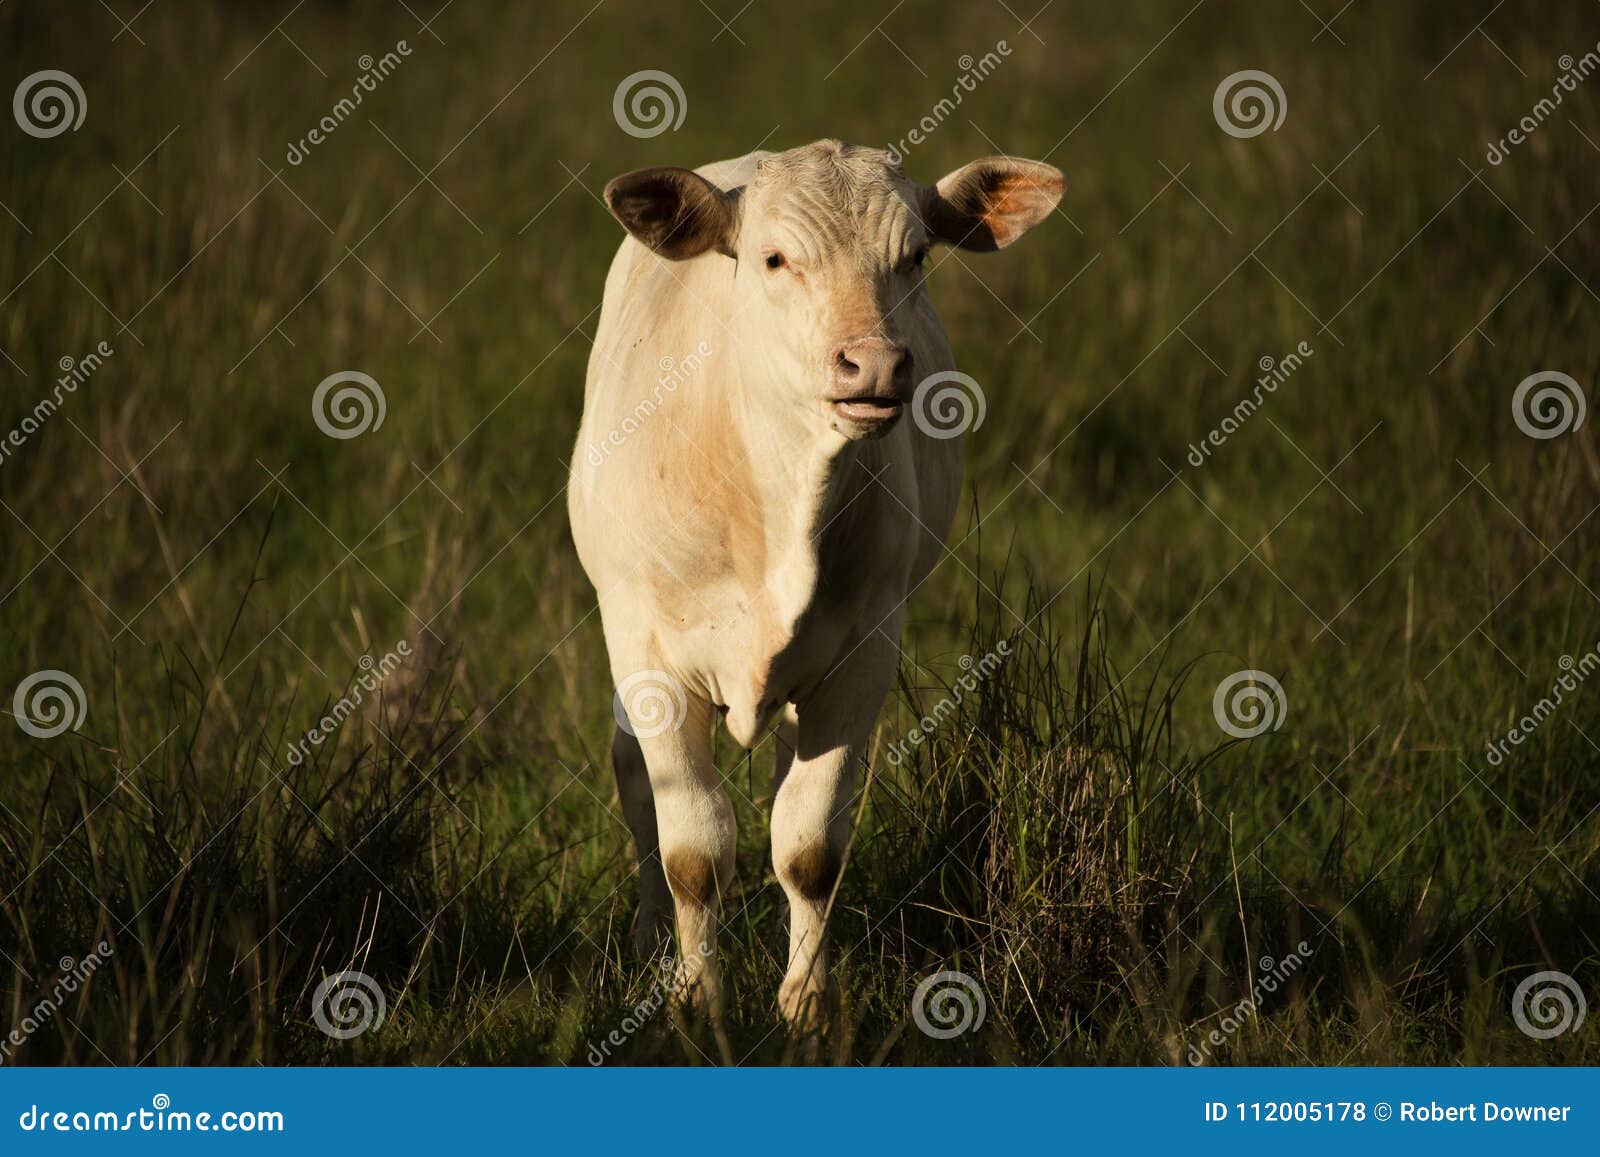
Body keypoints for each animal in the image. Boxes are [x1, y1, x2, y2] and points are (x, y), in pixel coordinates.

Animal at [568, 139, 1062, 1034]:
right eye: (774, 259)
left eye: (915, 256)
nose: (875, 362)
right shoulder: (648, 650)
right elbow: (691, 847)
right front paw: (696, 997)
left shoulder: (864, 651)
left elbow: (809, 844)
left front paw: (805, 1000)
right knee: (635, 780)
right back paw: (650, 938)